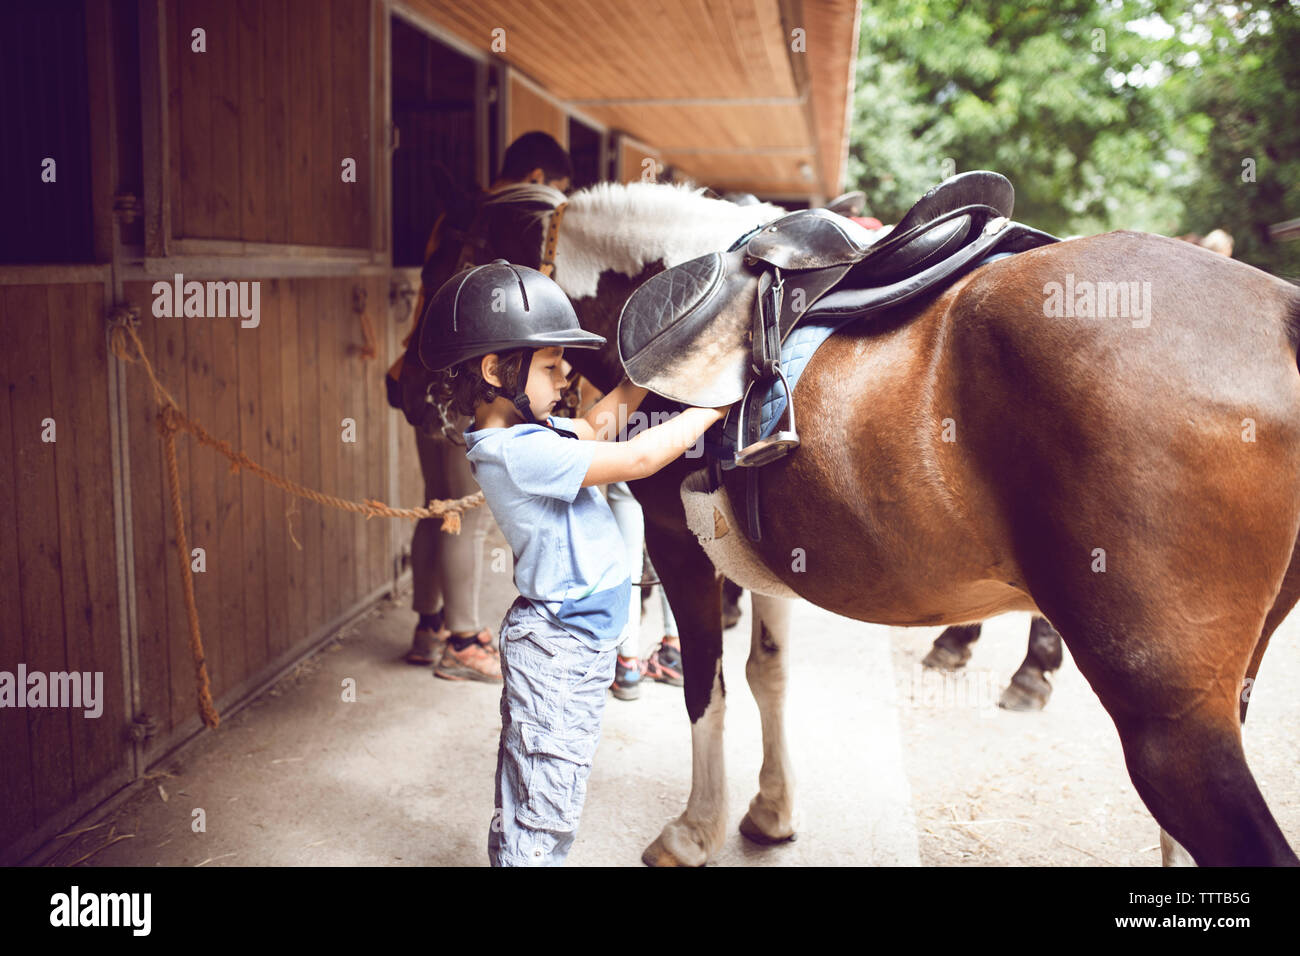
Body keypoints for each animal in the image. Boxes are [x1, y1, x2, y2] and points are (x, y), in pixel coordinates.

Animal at [449, 180, 1300, 867]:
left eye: (448, 264)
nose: (425, 394)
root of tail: (1284, 310)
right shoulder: (767, 562)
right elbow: (767, 676)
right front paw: (770, 813)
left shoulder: (679, 547)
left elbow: (707, 687)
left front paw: (695, 831)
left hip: (1169, 720)